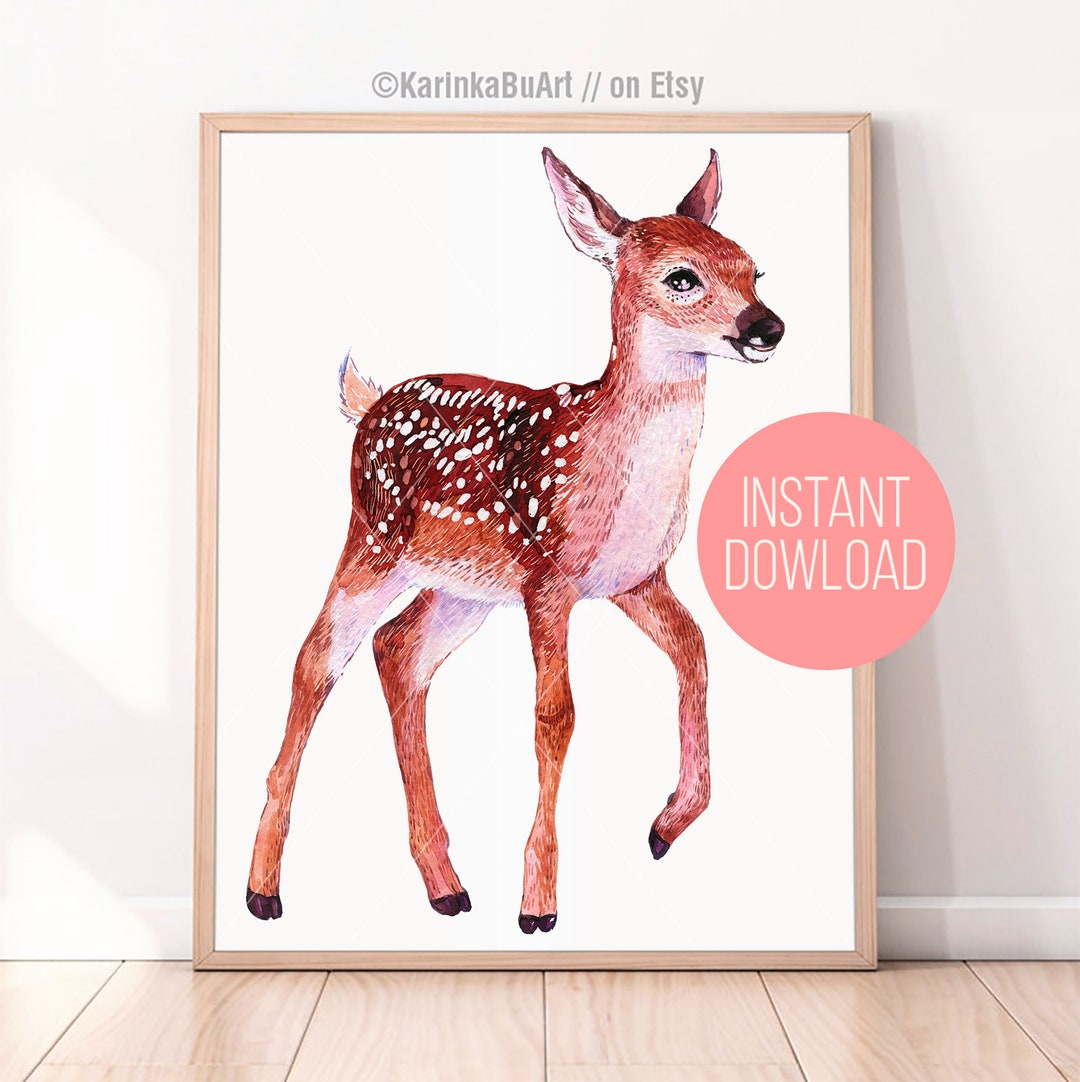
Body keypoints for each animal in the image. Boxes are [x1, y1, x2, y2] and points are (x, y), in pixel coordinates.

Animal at [246, 148, 784, 934]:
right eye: (682, 276)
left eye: (753, 269)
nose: (768, 326)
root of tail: (367, 404)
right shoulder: (549, 579)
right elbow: (555, 716)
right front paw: (538, 904)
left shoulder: (634, 578)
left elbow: (695, 652)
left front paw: (666, 824)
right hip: (374, 541)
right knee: (318, 657)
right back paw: (264, 892)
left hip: (462, 588)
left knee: (398, 653)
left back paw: (445, 886)